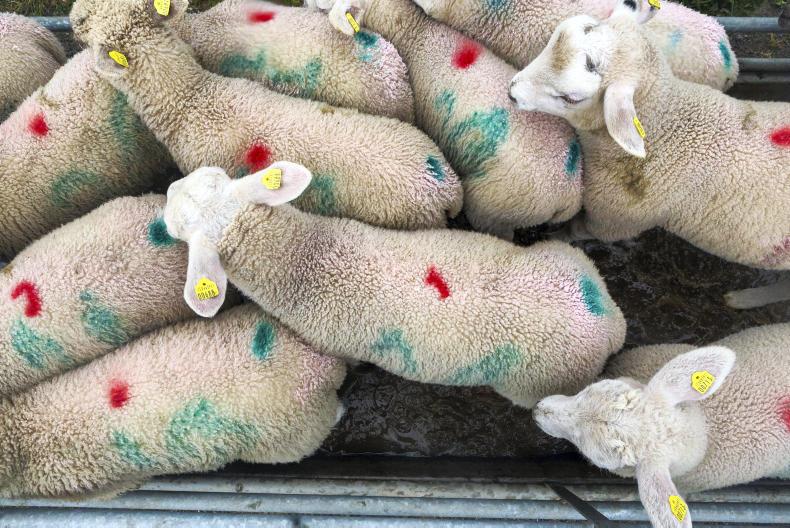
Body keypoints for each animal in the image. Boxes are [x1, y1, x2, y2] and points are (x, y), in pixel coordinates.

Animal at [162, 162, 626, 408]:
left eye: (174, 227)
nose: (168, 186)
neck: (309, 261)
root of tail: (609, 324)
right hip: (567, 261)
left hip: (539, 384)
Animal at [508, 1, 790, 309]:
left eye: (571, 99)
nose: (511, 92)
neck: (667, 127)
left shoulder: (614, 220)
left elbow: (576, 231)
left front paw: (553, 238)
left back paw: (742, 299)